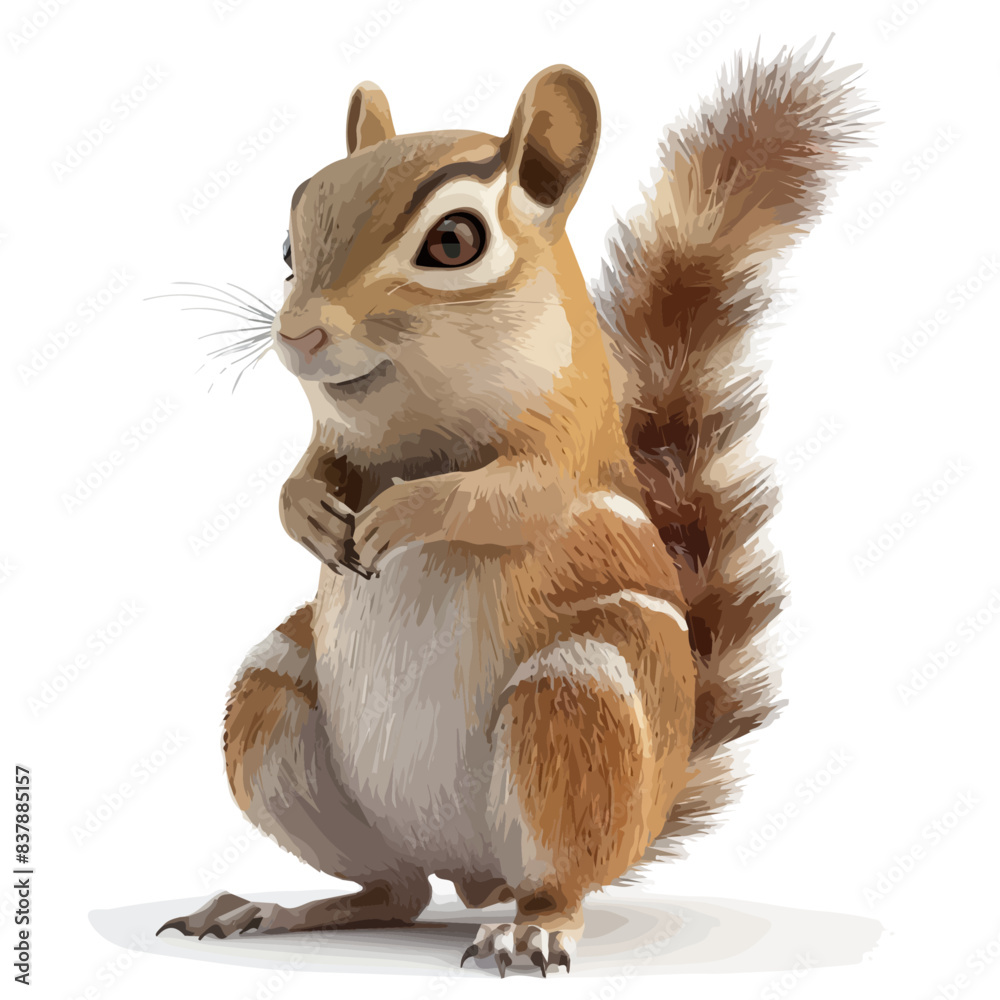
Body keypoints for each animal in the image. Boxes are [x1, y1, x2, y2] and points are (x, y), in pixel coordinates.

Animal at [158, 47, 867, 975]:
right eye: (287, 243)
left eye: (454, 241)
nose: (299, 333)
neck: (414, 432)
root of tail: (472, 873)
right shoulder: (335, 444)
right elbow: (302, 477)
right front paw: (311, 513)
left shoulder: (560, 457)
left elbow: (507, 497)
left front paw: (403, 513)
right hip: (269, 700)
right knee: (393, 891)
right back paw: (273, 911)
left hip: (576, 700)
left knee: (552, 881)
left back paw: (530, 930)